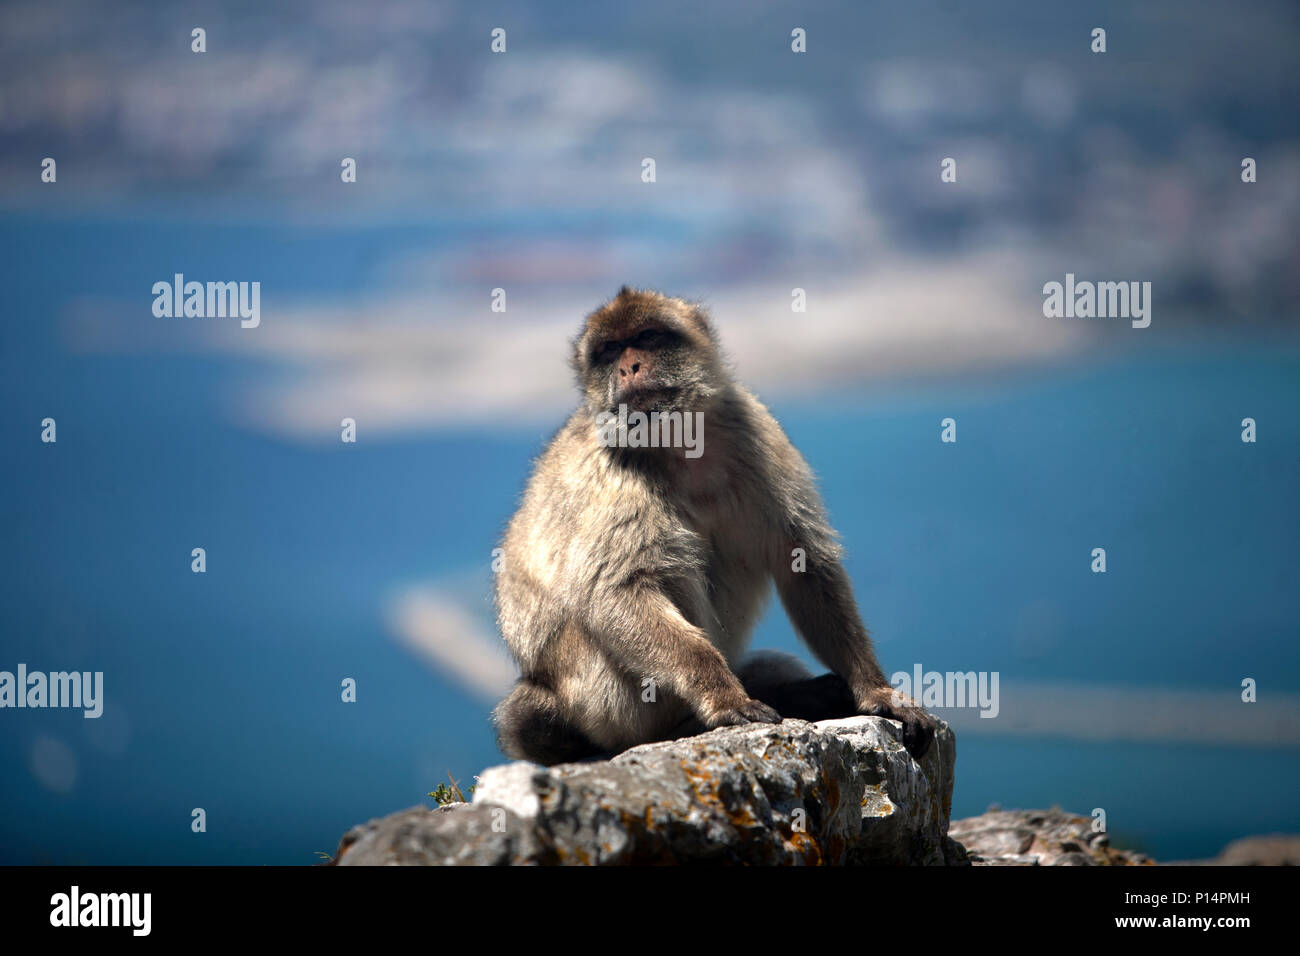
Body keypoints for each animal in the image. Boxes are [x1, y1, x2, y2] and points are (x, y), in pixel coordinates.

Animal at [492, 287, 938, 766]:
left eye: (647, 338)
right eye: (610, 350)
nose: (628, 367)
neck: (677, 442)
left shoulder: (752, 428)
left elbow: (803, 562)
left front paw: (875, 691)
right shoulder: (609, 472)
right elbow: (616, 591)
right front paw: (725, 698)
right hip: (605, 707)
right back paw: (688, 723)